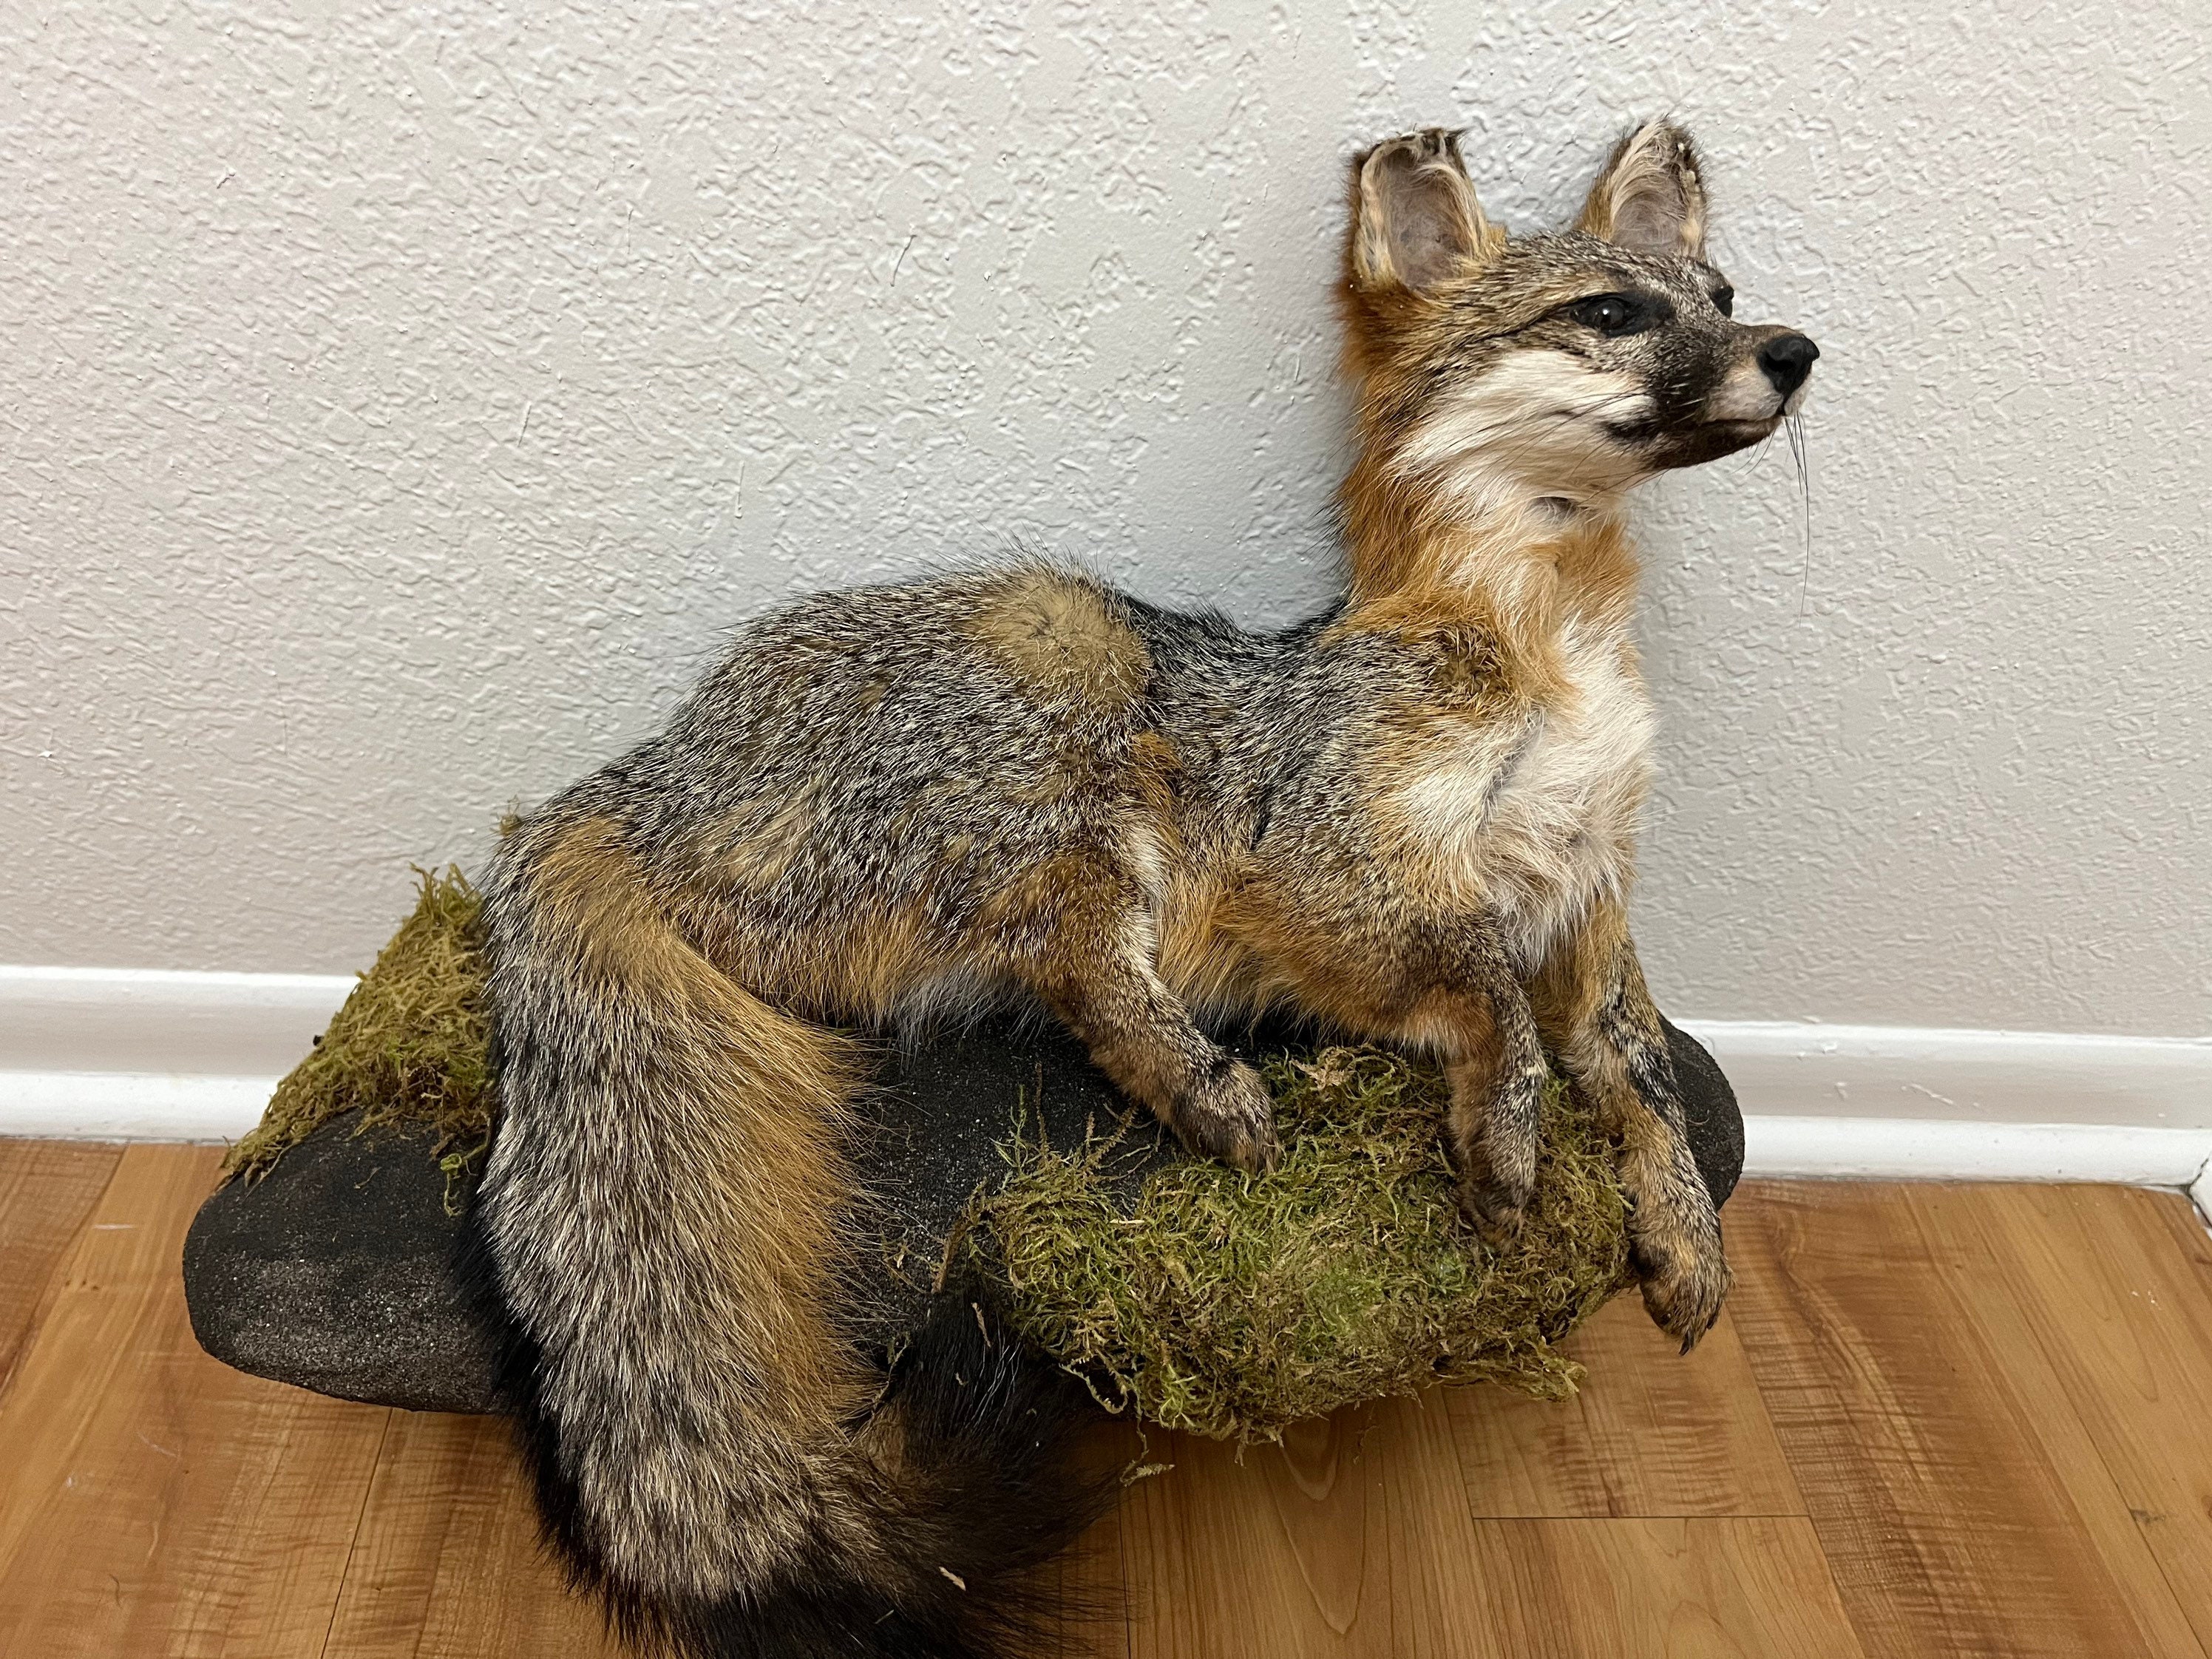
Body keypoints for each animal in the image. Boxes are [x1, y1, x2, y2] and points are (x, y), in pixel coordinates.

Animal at [474, 119, 1817, 1658]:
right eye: (1611, 311)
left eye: (1720, 294)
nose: (1794, 350)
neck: (1552, 657)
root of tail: (633, 779)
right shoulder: (1328, 865)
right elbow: (1497, 1006)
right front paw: (1505, 1140)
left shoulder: (1589, 906)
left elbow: (1642, 1080)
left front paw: (1684, 1236)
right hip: (1077, 702)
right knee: (1081, 969)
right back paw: (1210, 1086)